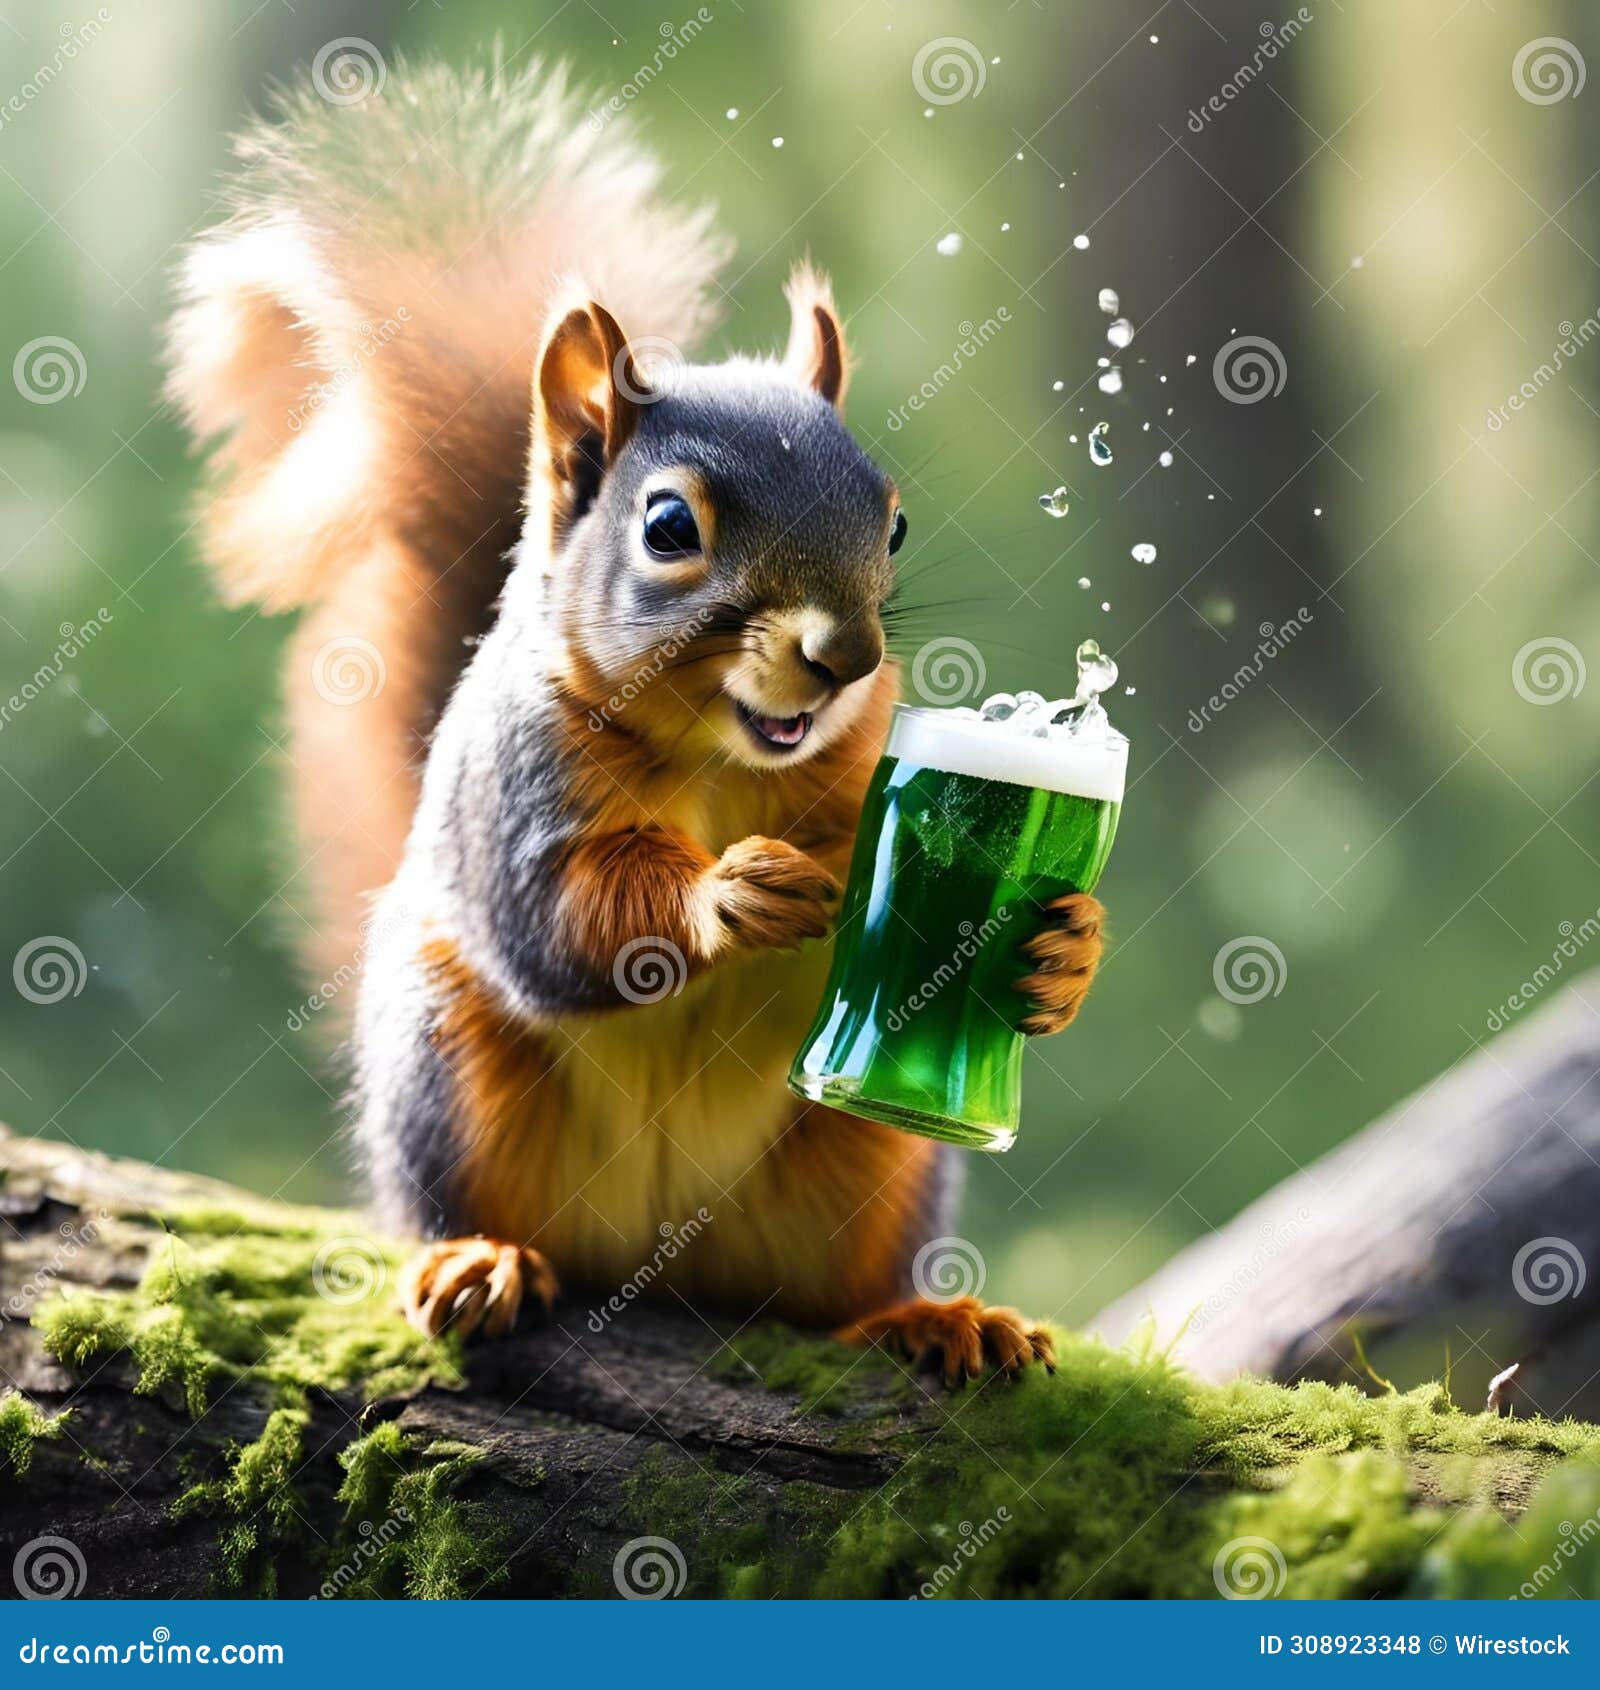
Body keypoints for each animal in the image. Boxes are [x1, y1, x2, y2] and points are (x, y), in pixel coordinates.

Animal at [167, 59, 1105, 1382]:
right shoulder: (521, 795)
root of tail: (672, 1270)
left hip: (867, 1167)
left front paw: (1064, 951)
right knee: (463, 1199)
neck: (717, 756)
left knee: (834, 1294)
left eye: (895, 521)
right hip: (451, 1072)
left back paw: (927, 1317)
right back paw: (480, 1260)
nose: (847, 659)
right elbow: (561, 912)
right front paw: (725, 893)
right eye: (667, 527)